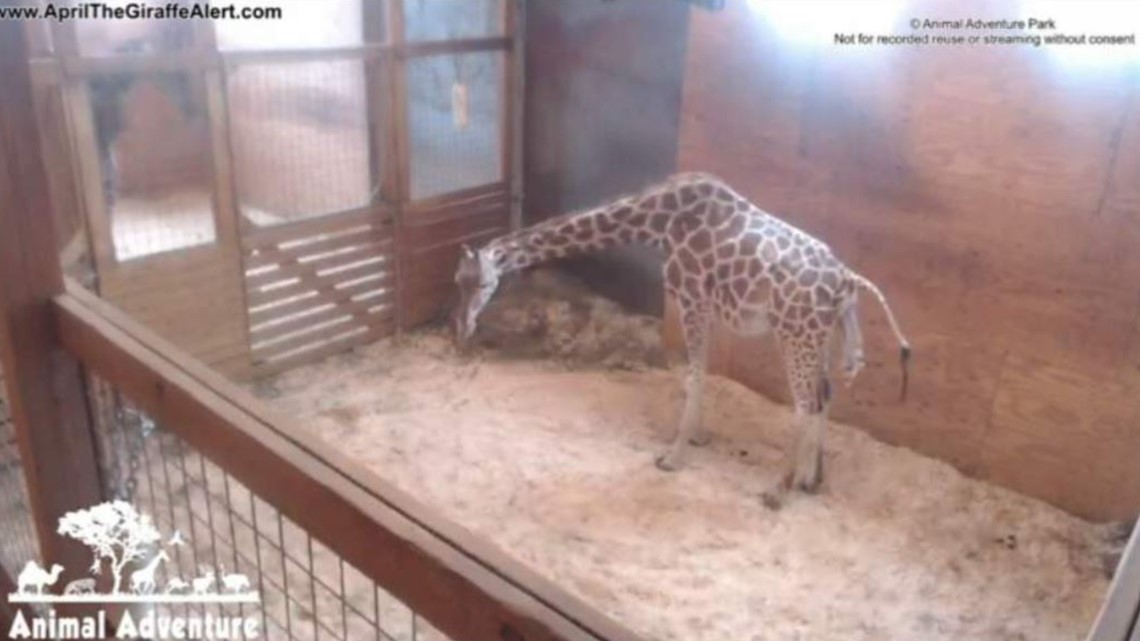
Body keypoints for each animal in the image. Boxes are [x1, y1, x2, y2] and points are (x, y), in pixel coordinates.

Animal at [453, 172, 910, 506]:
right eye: (458, 279)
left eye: (481, 283)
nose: (462, 326)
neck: (658, 222)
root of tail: (847, 281)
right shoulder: (702, 303)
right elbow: (699, 373)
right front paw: (698, 438)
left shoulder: (691, 296)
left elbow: (694, 374)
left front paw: (674, 456)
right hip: (821, 337)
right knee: (825, 396)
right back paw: (810, 480)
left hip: (795, 334)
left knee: (804, 403)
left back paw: (777, 489)